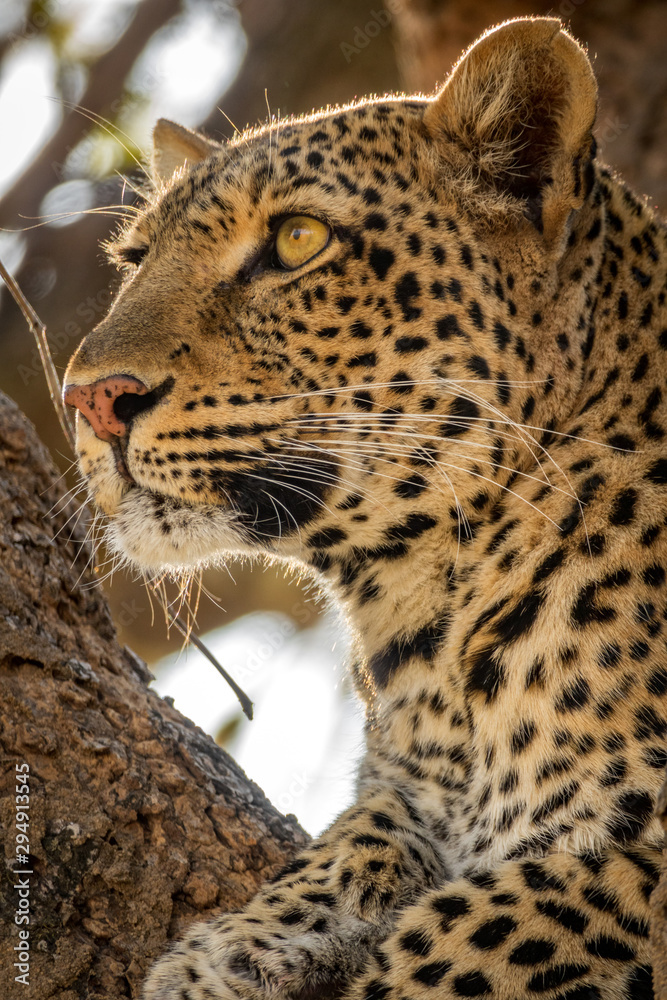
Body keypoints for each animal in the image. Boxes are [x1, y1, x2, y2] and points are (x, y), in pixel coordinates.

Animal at [62, 16, 667, 1000]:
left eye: (297, 239)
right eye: (135, 259)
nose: (91, 399)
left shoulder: (622, 861)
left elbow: (503, 920)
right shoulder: (408, 784)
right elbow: (361, 837)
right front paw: (225, 956)